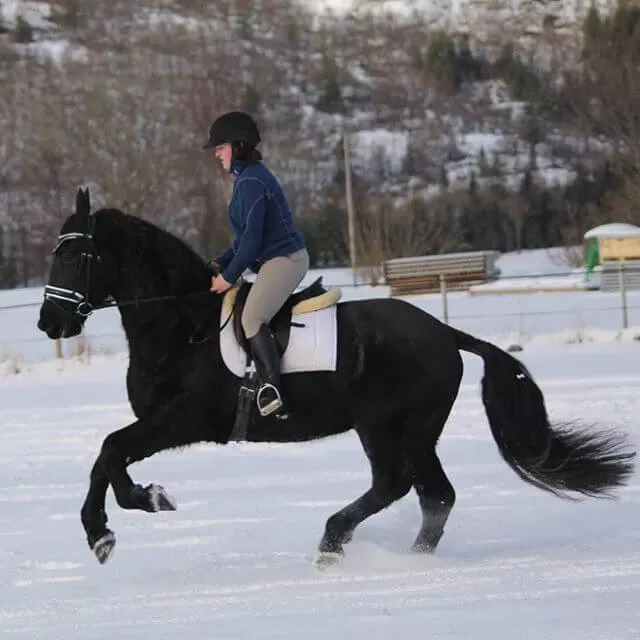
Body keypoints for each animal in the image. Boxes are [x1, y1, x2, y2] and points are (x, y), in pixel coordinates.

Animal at [37, 189, 632, 564]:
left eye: (72, 258)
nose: (49, 323)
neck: (182, 322)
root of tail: (445, 332)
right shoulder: (162, 423)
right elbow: (109, 457)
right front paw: (120, 519)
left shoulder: (181, 420)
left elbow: (112, 450)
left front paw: (127, 515)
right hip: (402, 430)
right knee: (426, 493)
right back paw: (386, 554)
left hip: (395, 426)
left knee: (407, 487)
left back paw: (341, 546)